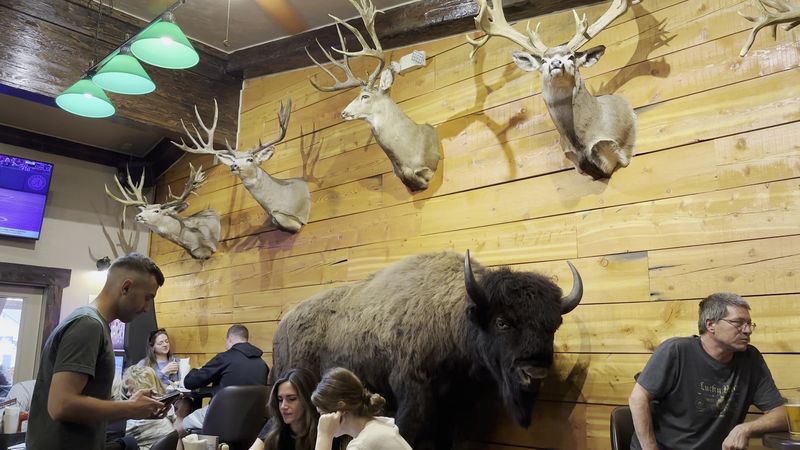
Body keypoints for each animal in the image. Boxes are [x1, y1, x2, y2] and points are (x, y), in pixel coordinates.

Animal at [271, 250, 582, 449]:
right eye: (502, 321)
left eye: (554, 325)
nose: (534, 373)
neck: (453, 317)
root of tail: (284, 323)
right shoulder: (414, 394)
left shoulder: (458, 405)